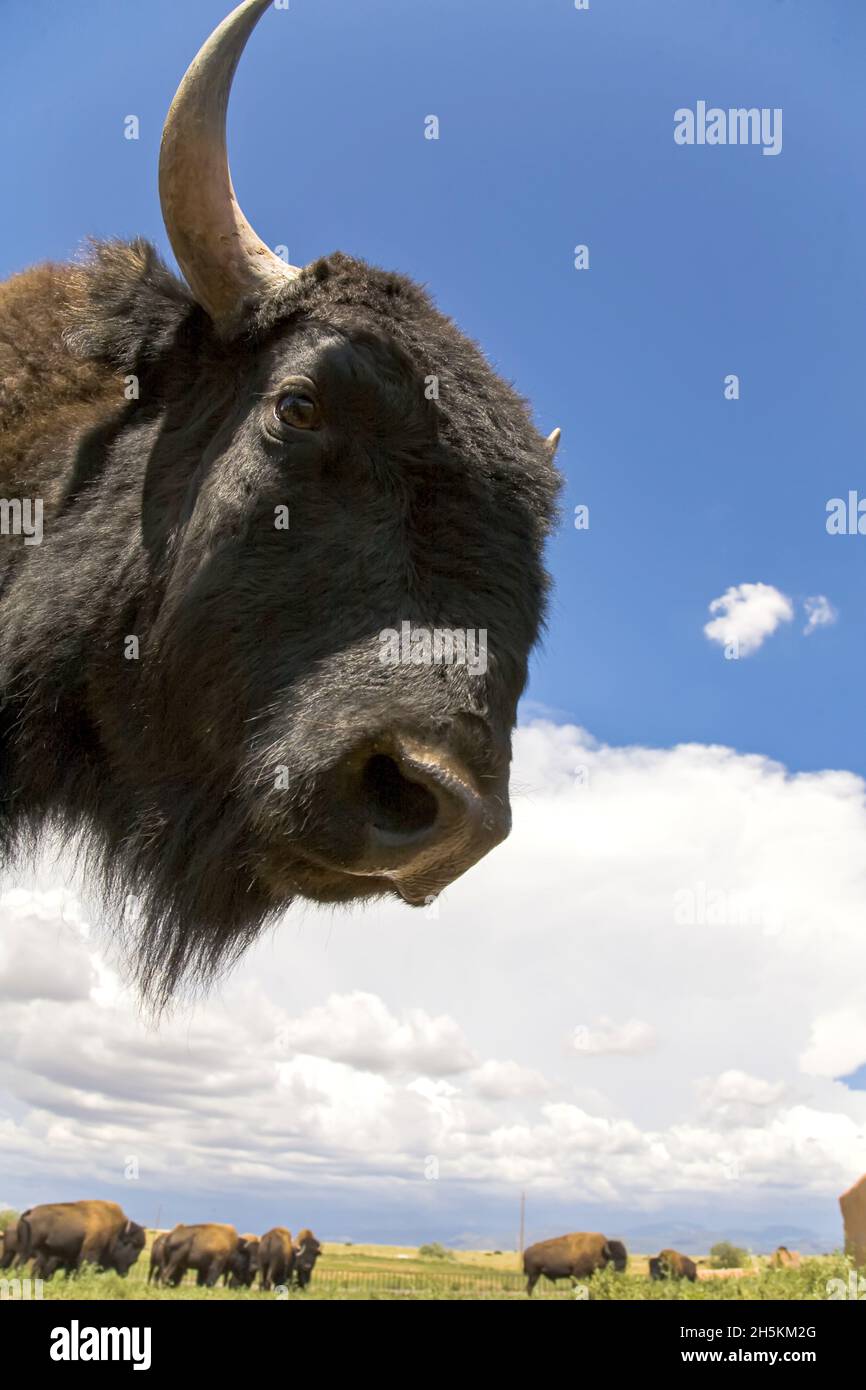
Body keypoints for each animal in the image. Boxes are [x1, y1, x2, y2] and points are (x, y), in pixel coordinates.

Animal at [16, 1200, 145, 1280]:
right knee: (21, 1265)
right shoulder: (89, 1255)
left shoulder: (72, 1259)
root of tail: (30, 1212)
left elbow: (69, 1274)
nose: (135, 1260)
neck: (117, 1230)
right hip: (28, 1250)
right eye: (134, 1244)